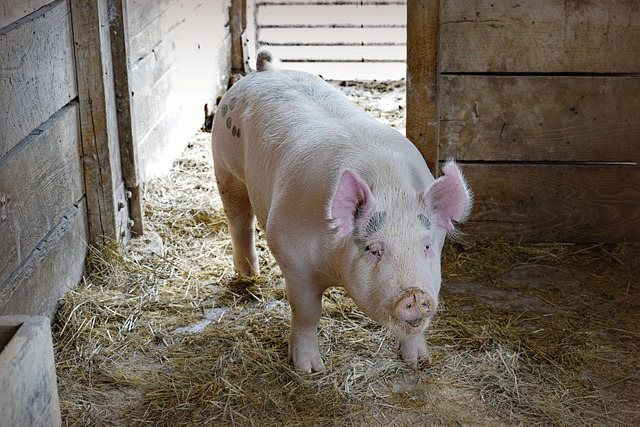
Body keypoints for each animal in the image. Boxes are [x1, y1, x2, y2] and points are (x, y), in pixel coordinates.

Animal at [211, 50, 472, 372]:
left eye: (425, 245)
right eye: (374, 249)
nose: (414, 294)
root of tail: (265, 71)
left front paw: (420, 361)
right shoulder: (291, 256)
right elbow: (306, 312)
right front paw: (309, 370)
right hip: (224, 164)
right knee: (239, 220)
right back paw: (248, 273)